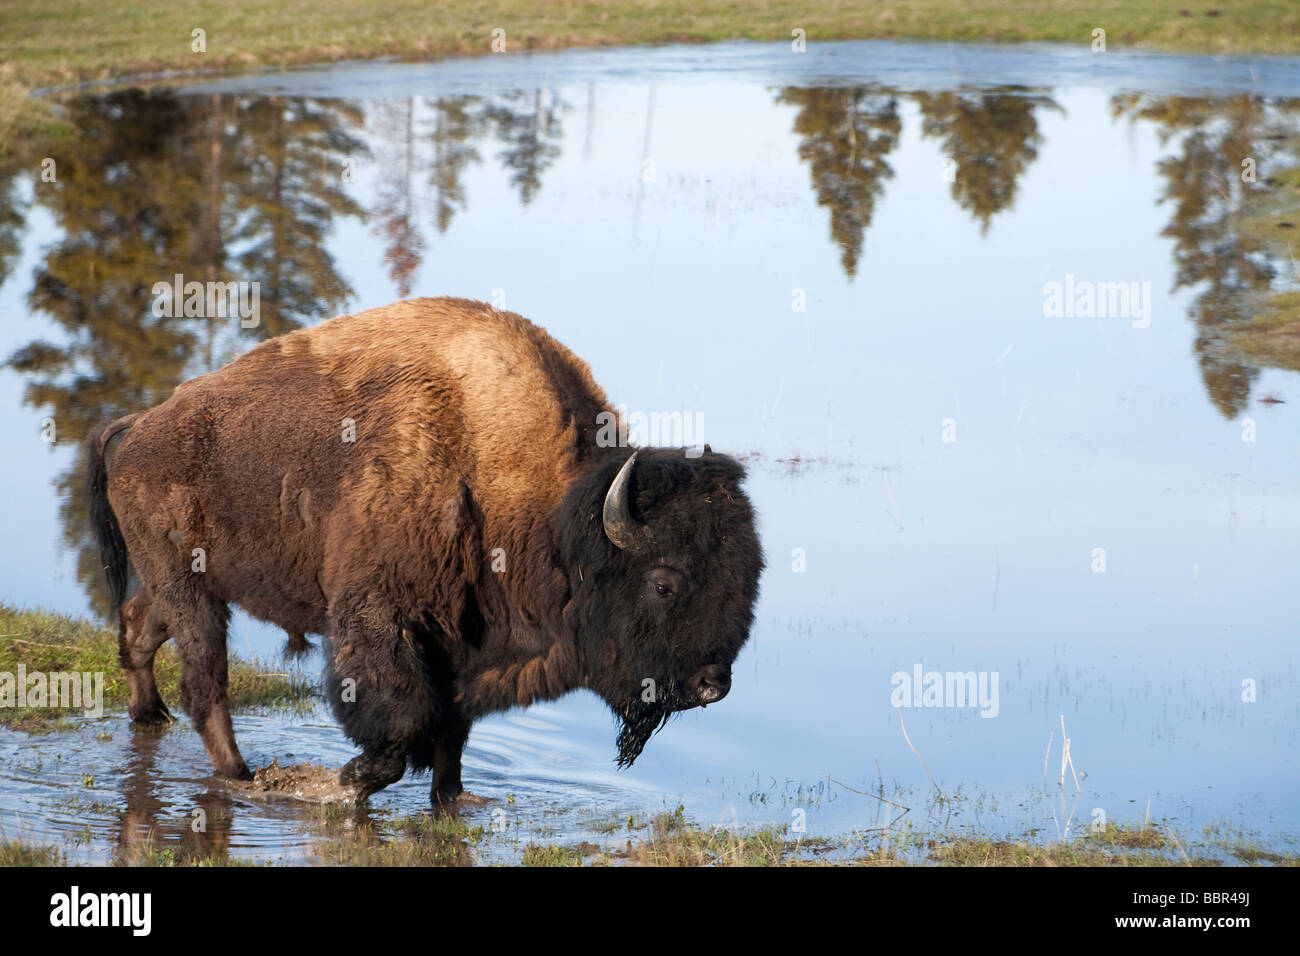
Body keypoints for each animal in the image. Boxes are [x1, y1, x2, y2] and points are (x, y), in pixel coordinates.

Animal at [86, 297, 763, 804]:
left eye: (748, 579)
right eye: (663, 582)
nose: (712, 684)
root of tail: (139, 426)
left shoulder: (466, 648)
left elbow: (450, 740)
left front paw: (451, 798)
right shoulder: (382, 621)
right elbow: (401, 728)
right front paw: (338, 784)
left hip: (187, 583)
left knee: (139, 626)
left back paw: (150, 716)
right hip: (191, 589)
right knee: (207, 684)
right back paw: (243, 775)